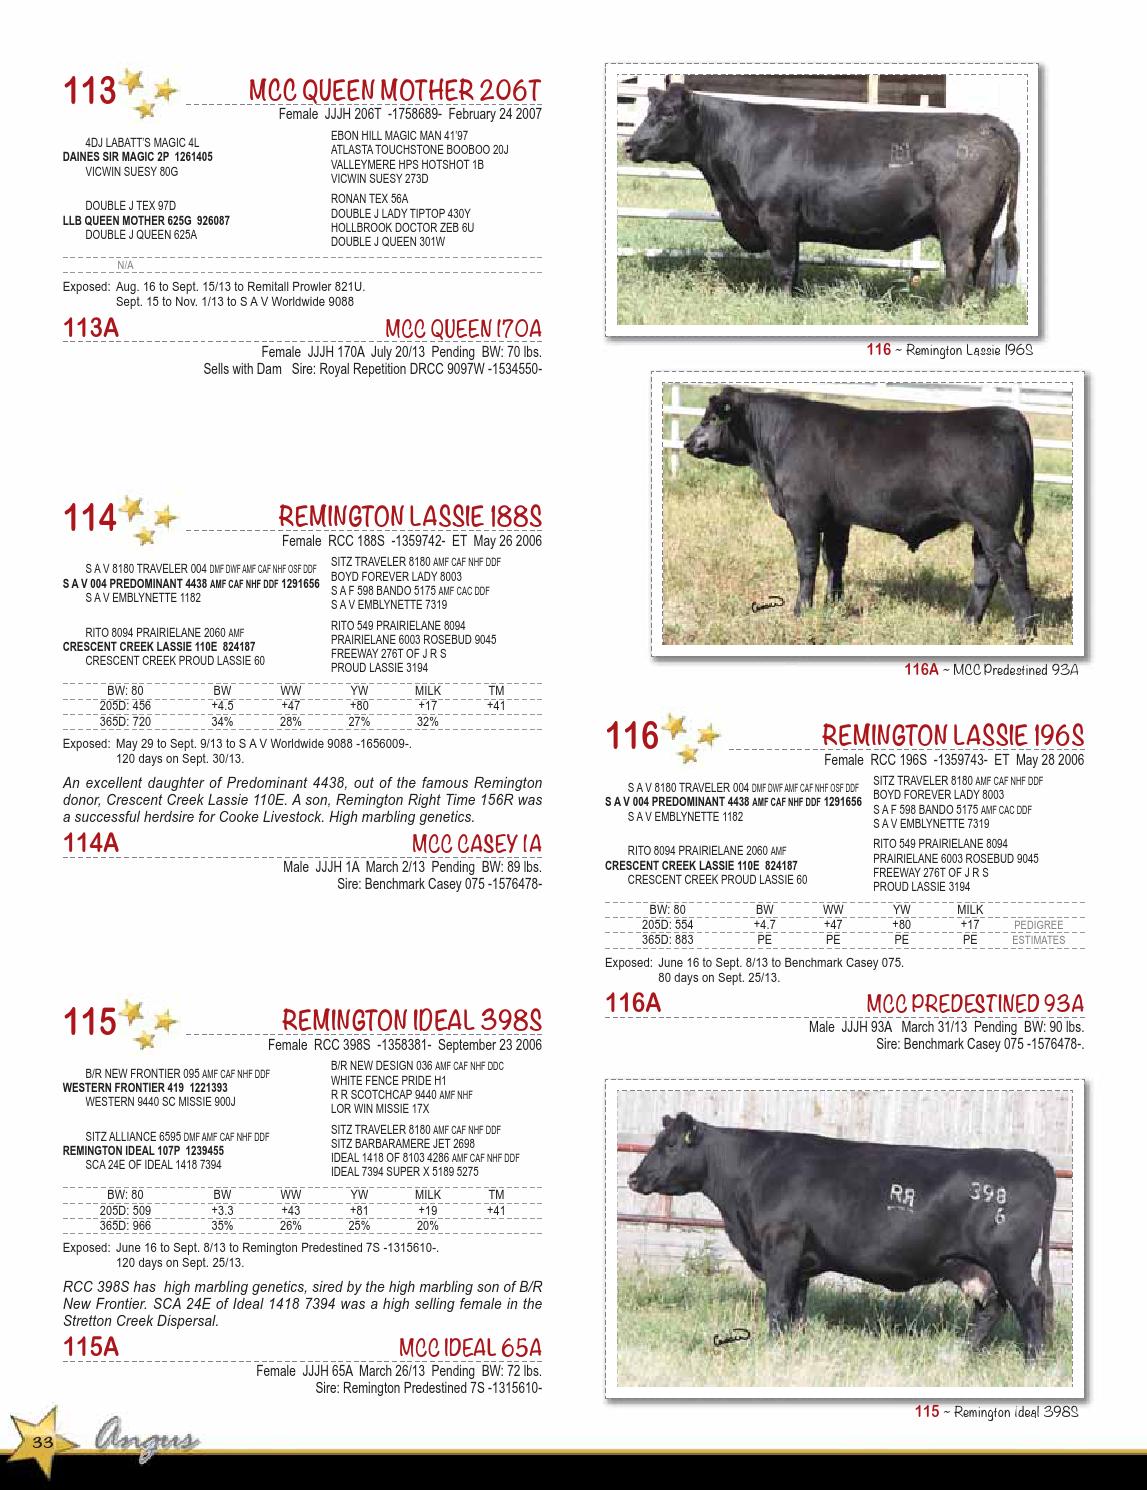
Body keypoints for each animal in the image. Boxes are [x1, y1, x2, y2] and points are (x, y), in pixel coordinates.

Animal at [625, 81, 1021, 304]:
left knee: (959, 262)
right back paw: (978, 306)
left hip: (957, 221)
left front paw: (782, 303)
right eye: (649, 111)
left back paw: (946, 309)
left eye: (669, 113)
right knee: (984, 259)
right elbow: (796, 265)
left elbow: (783, 266)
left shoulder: (777, 216)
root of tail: (990, 122)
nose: (630, 145)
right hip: (985, 221)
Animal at [627, 1112, 1057, 1360]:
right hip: (972, 1265)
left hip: (1010, 1261)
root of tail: (1030, 1158)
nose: (634, 1178)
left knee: (1029, 1303)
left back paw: (1033, 1361)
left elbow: (776, 1304)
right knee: (991, 1306)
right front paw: (793, 1345)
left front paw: (773, 1350)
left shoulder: (780, 1245)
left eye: (669, 1144)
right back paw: (959, 1354)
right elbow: (796, 1307)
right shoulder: (799, 1261)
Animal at [683, 387, 1037, 637]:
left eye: (711, 419)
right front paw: (834, 604)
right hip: (983, 525)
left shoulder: (803, 513)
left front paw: (801, 609)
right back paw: (968, 622)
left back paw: (1025, 630)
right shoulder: (836, 519)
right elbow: (834, 559)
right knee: (986, 568)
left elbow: (807, 562)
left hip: (993, 522)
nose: (688, 442)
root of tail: (1006, 414)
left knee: (1012, 563)